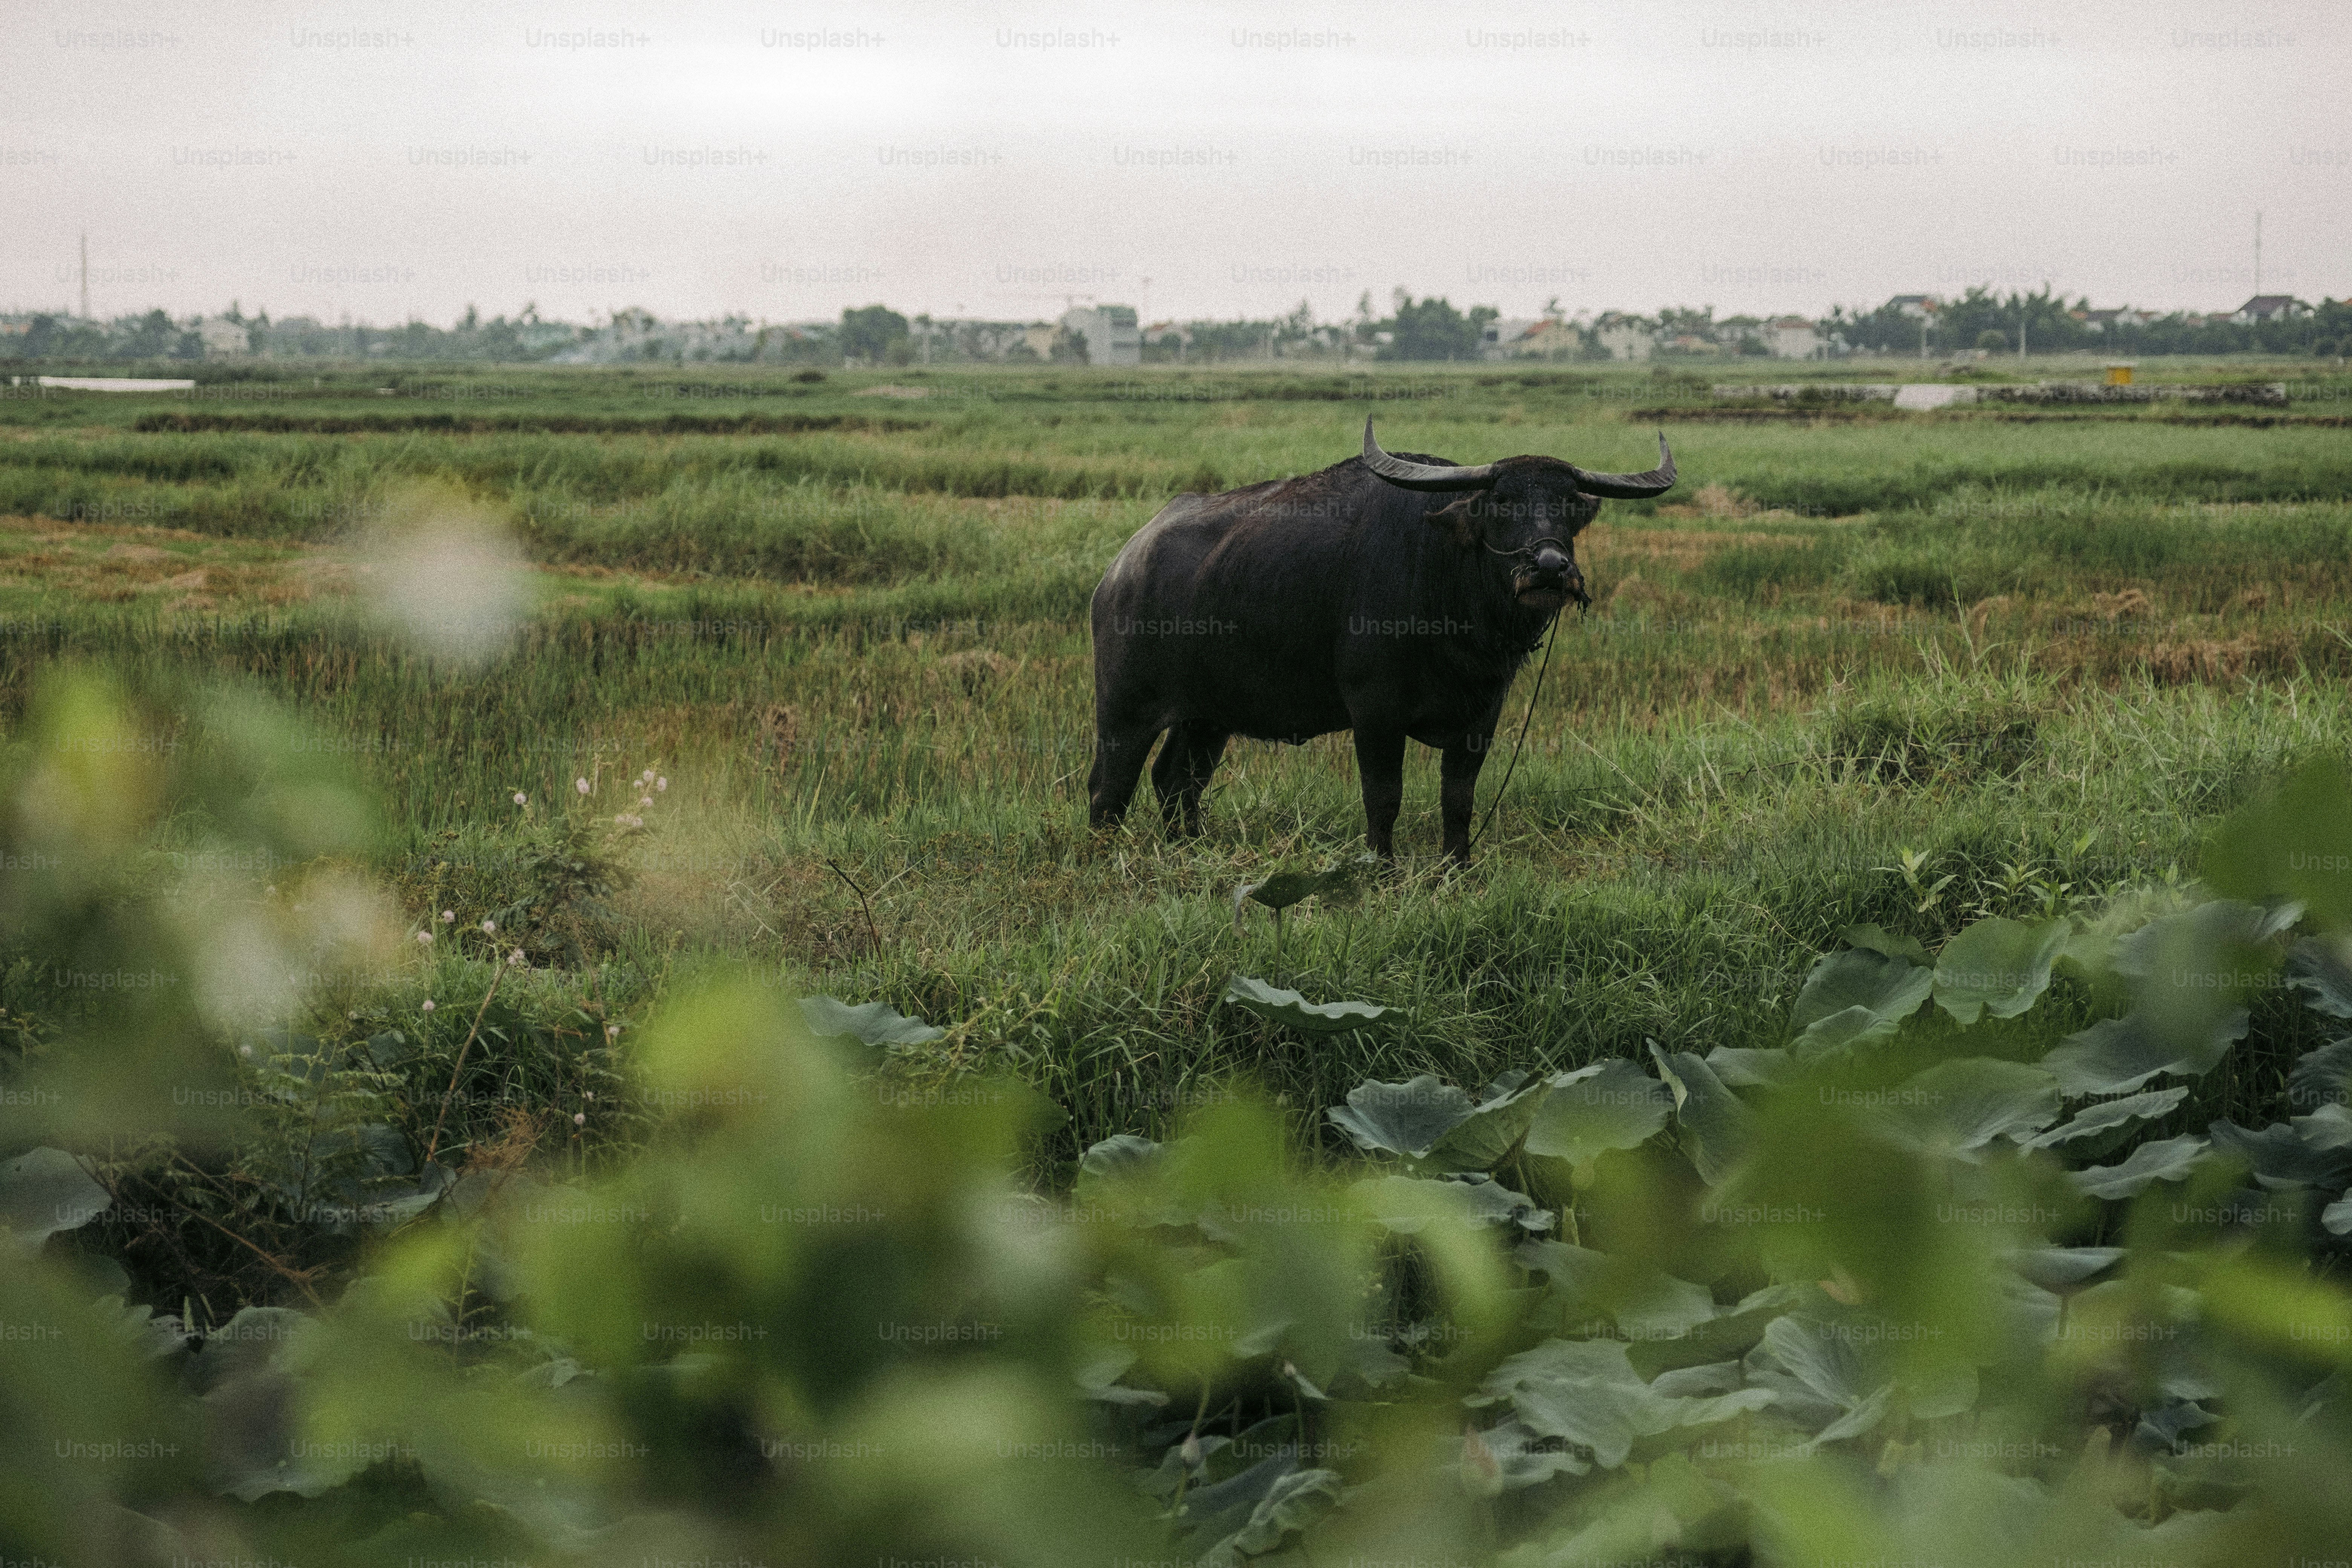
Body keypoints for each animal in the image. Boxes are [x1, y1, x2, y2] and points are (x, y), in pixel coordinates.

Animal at [1086, 419, 1676, 862]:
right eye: (1502, 501)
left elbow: (1458, 799)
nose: (1551, 568)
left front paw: (1456, 867)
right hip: (1125, 710)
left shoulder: (1481, 719)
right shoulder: (1375, 713)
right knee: (1109, 787)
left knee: (1176, 781)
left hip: (1207, 717)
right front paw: (1383, 867)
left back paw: (1190, 849)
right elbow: (1384, 797)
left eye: (1570, 504)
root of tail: (1121, 569)